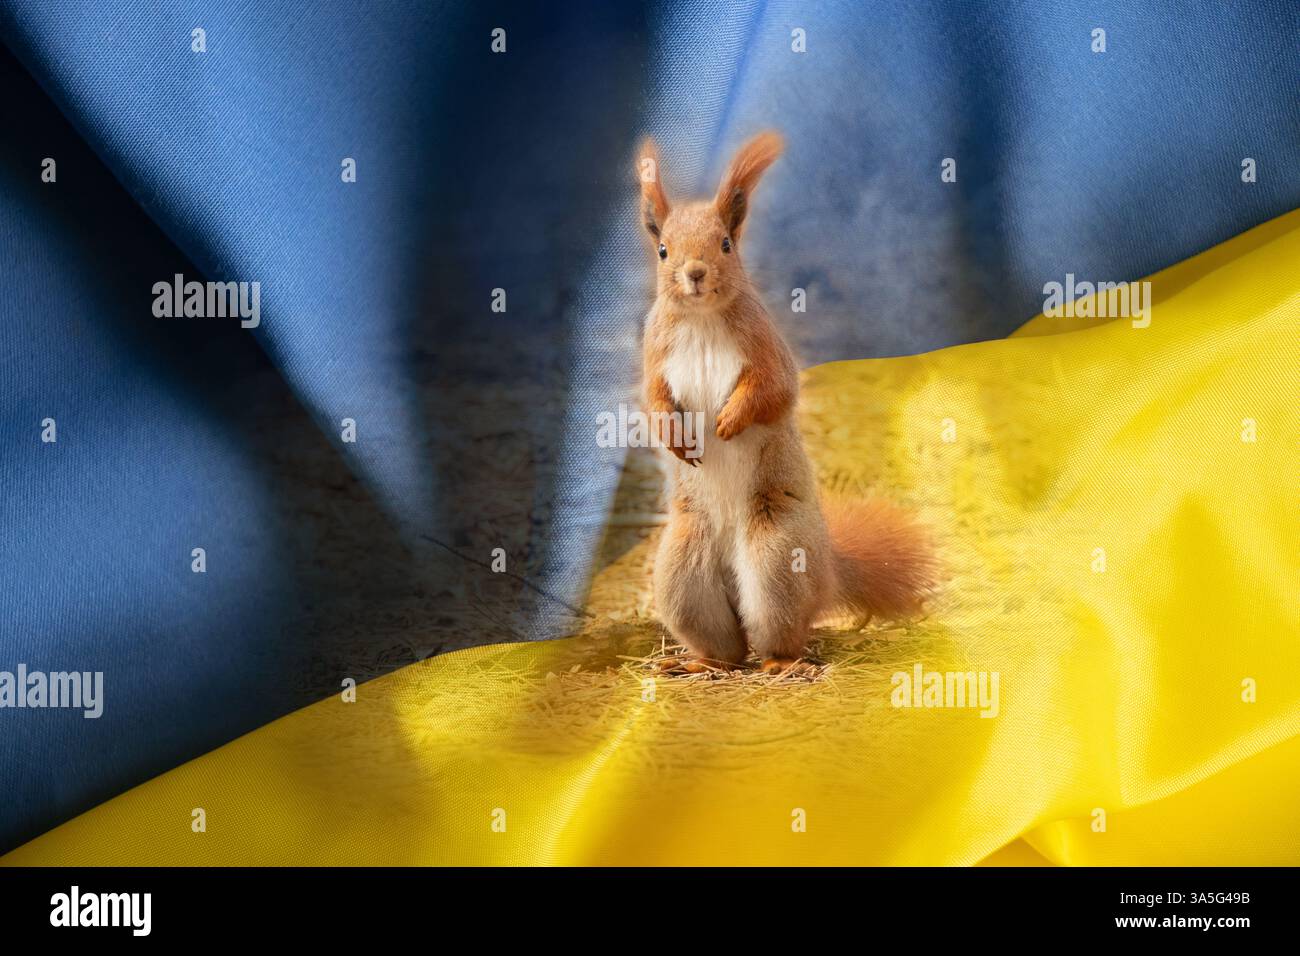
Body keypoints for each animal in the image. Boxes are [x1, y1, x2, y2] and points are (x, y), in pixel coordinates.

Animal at [638, 131, 936, 674]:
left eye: (726, 244)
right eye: (664, 250)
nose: (694, 273)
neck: (702, 318)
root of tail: (829, 573)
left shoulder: (766, 350)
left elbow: (774, 392)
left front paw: (729, 421)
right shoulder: (654, 357)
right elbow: (652, 404)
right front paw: (676, 438)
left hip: (778, 555)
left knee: (781, 631)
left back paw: (780, 665)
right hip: (684, 569)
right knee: (728, 646)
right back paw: (701, 663)